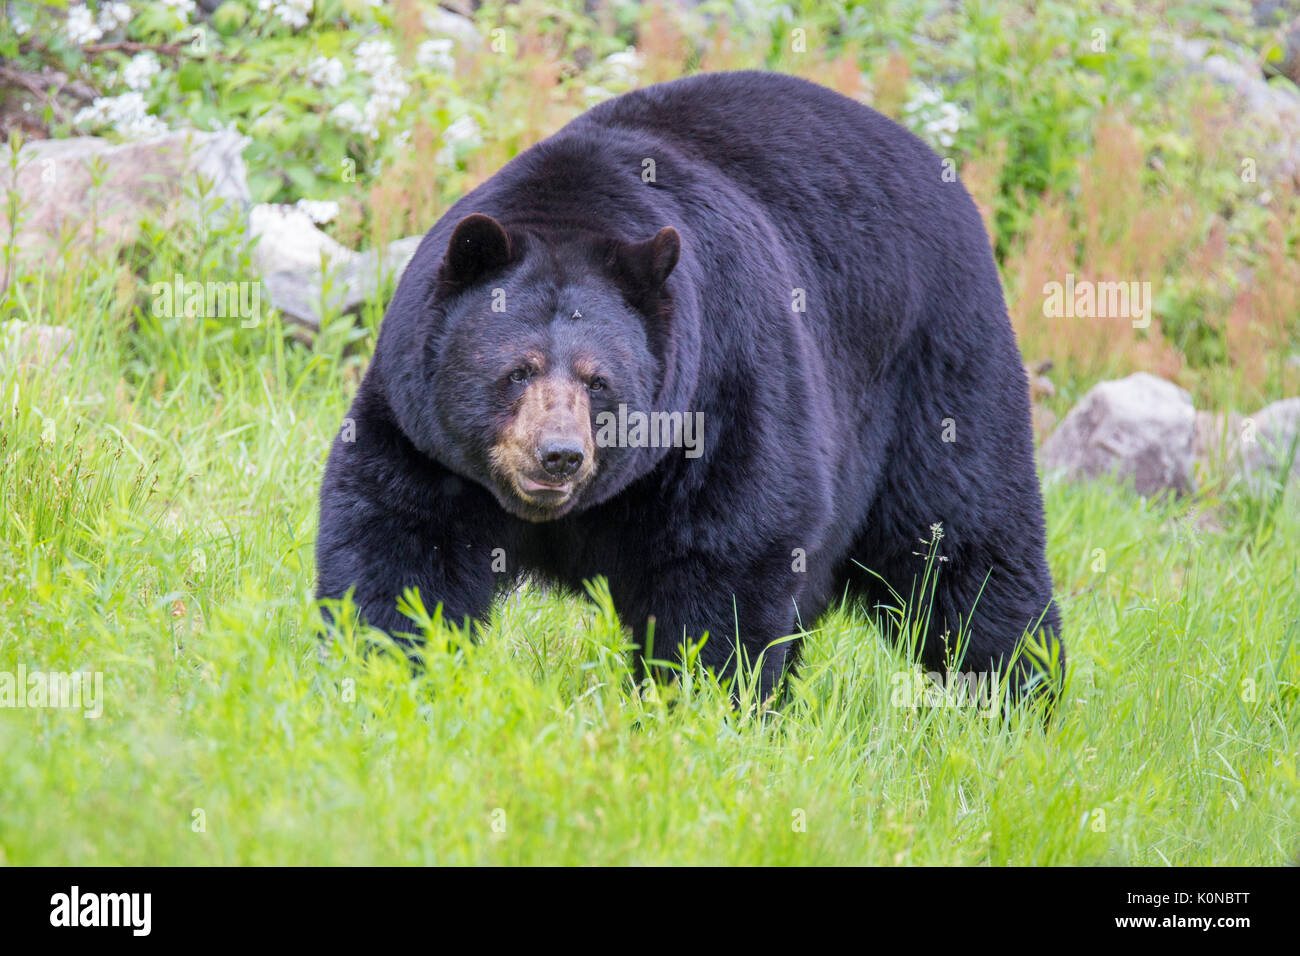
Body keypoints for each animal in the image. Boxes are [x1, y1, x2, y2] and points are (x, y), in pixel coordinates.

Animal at [315, 70, 1064, 707]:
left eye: (599, 380)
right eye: (517, 370)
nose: (559, 455)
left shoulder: (722, 389)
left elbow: (731, 550)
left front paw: (694, 705)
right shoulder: (422, 428)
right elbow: (403, 540)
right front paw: (382, 669)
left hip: (938, 370)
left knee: (964, 544)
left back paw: (1017, 698)